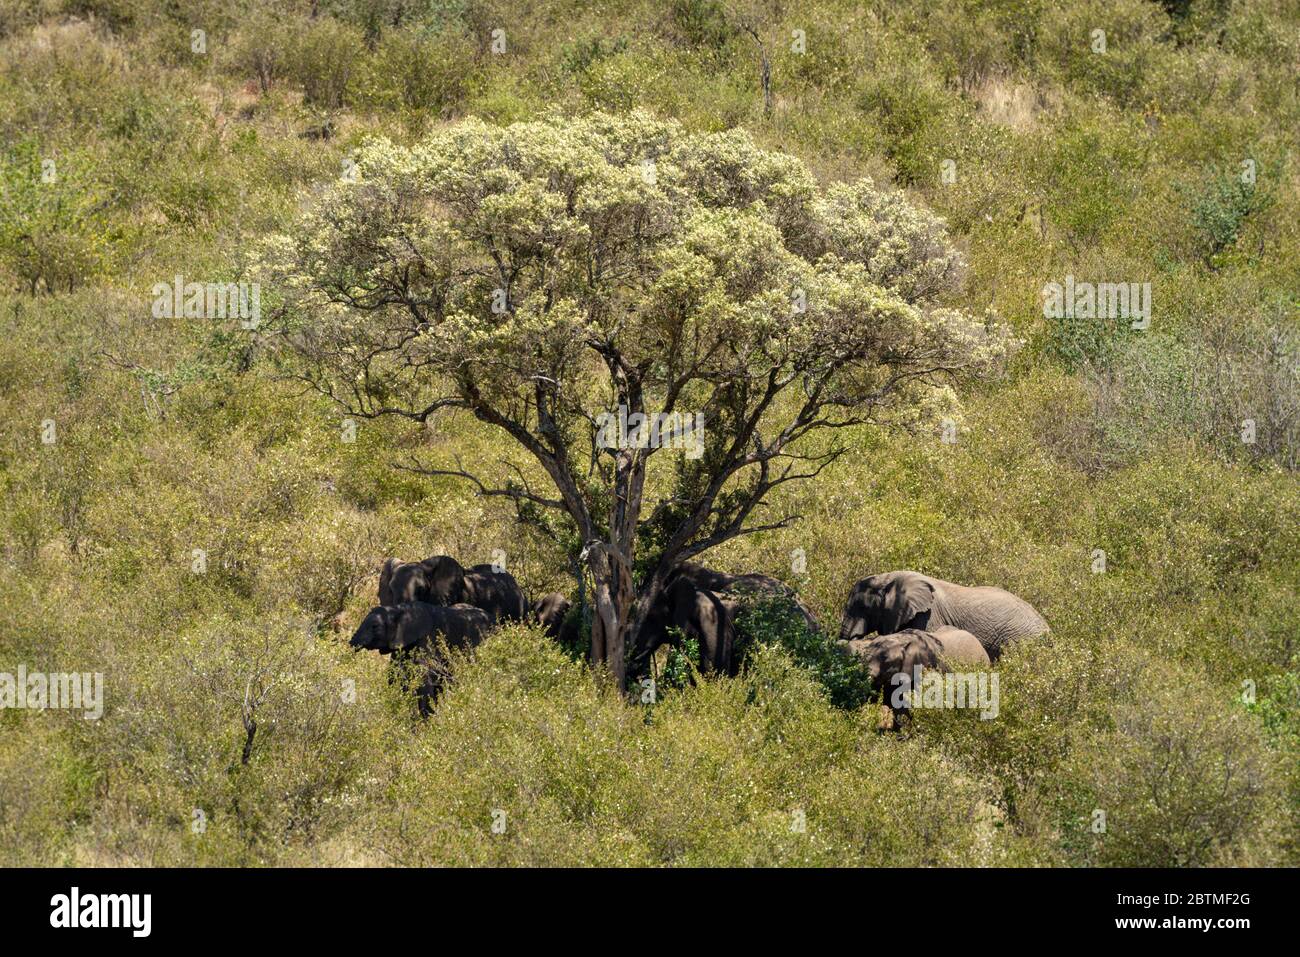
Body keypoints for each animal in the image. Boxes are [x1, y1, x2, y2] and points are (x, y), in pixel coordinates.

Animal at [350, 602, 492, 715]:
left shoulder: (428, 638)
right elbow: (394, 675)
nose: (351, 642)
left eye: (375, 626)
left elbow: (426, 675)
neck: (399, 609)